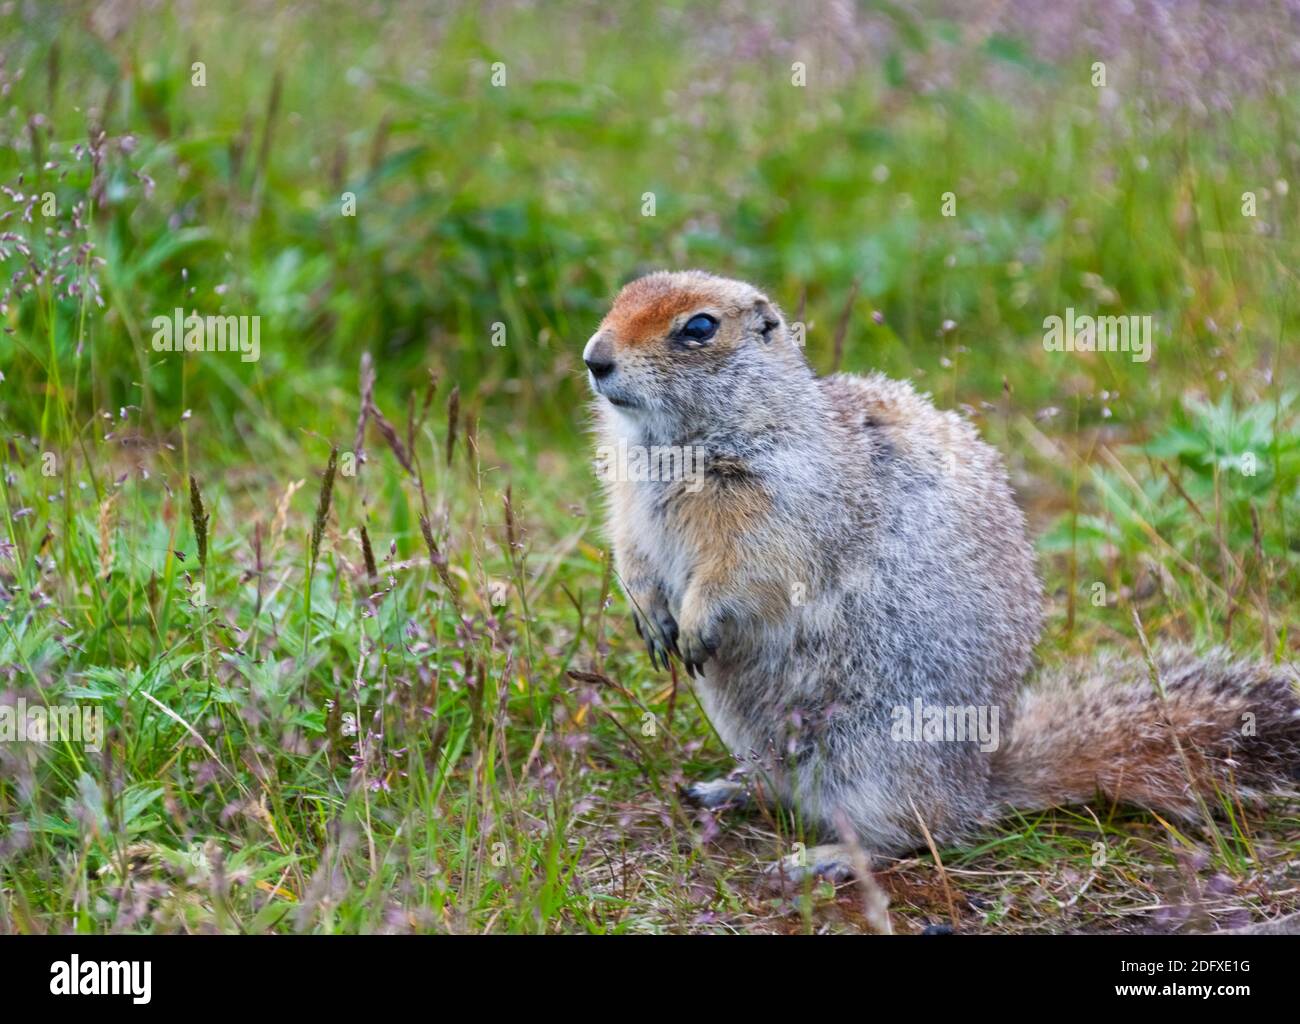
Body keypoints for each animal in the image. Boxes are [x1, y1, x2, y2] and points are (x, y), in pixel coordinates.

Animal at [586, 269, 1300, 880]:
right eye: (618, 297)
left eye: (699, 328)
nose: (595, 358)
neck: (670, 445)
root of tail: (981, 782)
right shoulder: (627, 498)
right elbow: (632, 551)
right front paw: (650, 617)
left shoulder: (782, 499)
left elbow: (749, 567)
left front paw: (697, 621)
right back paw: (726, 788)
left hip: (876, 758)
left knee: (915, 833)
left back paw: (823, 858)